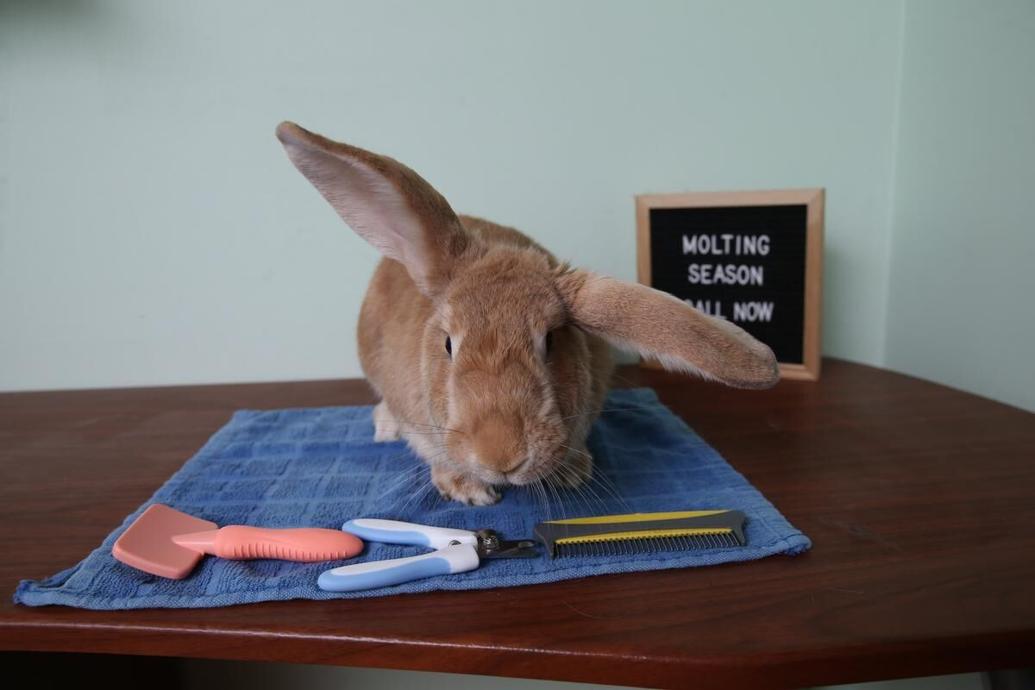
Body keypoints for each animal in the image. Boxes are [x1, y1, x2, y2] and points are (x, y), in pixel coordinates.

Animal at [276, 122, 779, 505]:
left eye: (551, 340)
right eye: (448, 344)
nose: (499, 457)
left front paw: (572, 471)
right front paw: (468, 490)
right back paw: (384, 428)